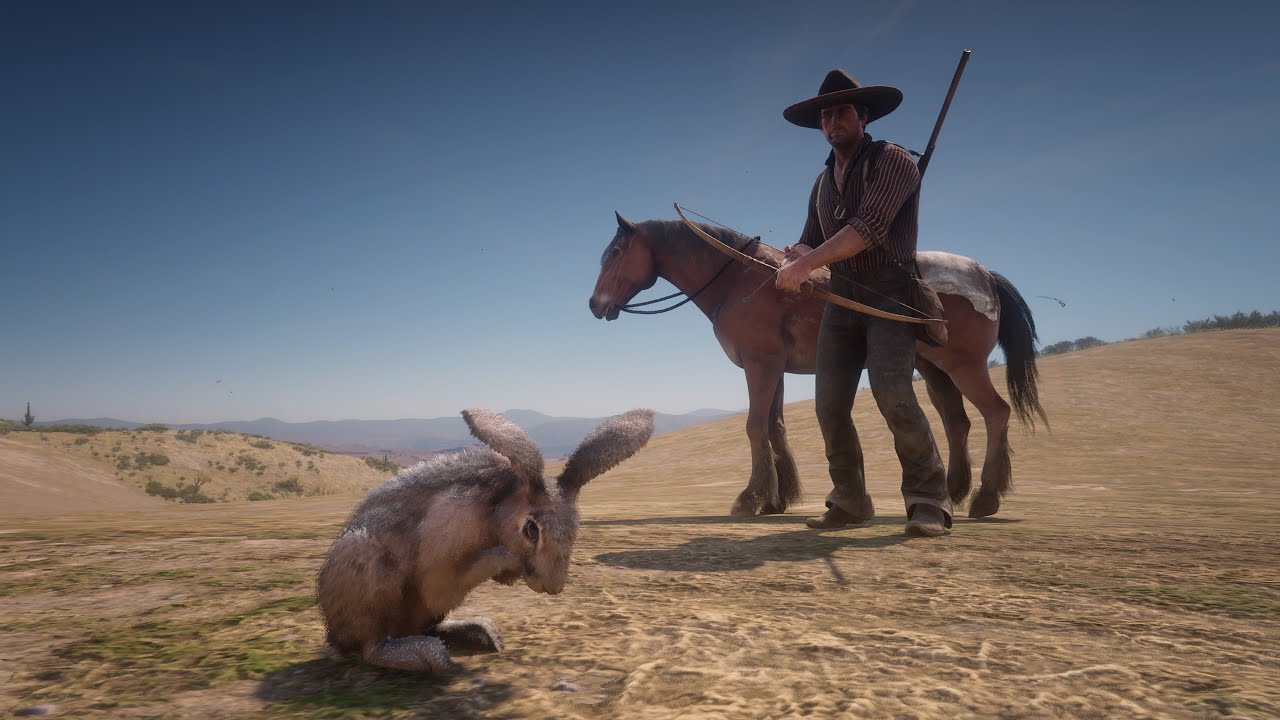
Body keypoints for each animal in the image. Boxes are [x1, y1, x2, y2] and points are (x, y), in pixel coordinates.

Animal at [316, 407, 654, 673]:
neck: (491, 514)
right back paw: (429, 656)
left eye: (575, 528)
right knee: (371, 648)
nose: (554, 587)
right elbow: (459, 577)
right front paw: (509, 566)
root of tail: (333, 634)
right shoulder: (440, 564)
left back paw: (482, 633)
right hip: (365, 566)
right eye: (531, 530)